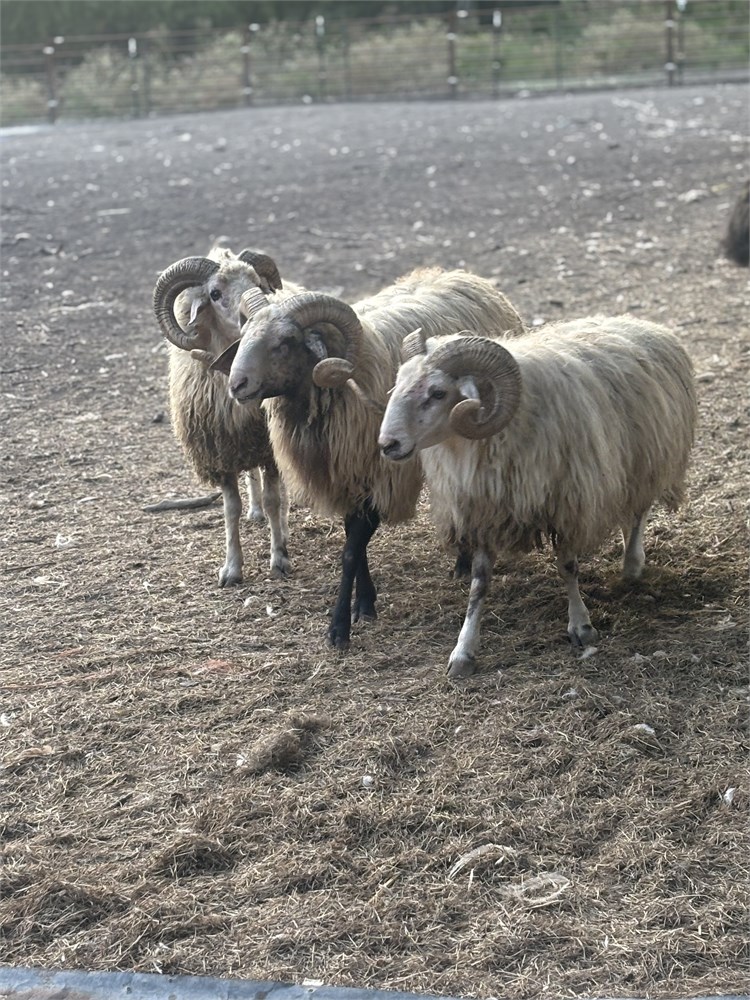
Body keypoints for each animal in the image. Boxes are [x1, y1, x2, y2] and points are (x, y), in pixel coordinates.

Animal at [152, 246, 303, 586]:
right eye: (215, 294)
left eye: (257, 283)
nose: (255, 317)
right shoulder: (221, 452)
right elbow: (230, 509)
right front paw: (232, 568)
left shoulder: (268, 448)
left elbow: (275, 499)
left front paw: (279, 557)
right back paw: (255, 511)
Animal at [212, 267, 524, 648]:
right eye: (243, 335)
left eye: (284, 341)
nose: (237, 385)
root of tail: (462, 275)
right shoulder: (346, 478)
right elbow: (355, 545)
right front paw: (365, 602)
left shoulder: (379, 475)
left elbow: (350, 550)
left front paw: (339, 628)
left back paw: (464, 564)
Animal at [378, 316, 698, 677]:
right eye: (398, 383)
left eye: (438, 392)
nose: (387, 444)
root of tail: (637, 321)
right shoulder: (485, 510)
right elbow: (479, 583)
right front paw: (463, 651)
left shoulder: (569, 502)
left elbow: (568, 566)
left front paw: (581, 627)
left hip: (650, 458)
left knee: (639, 513)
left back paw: (632, 564)